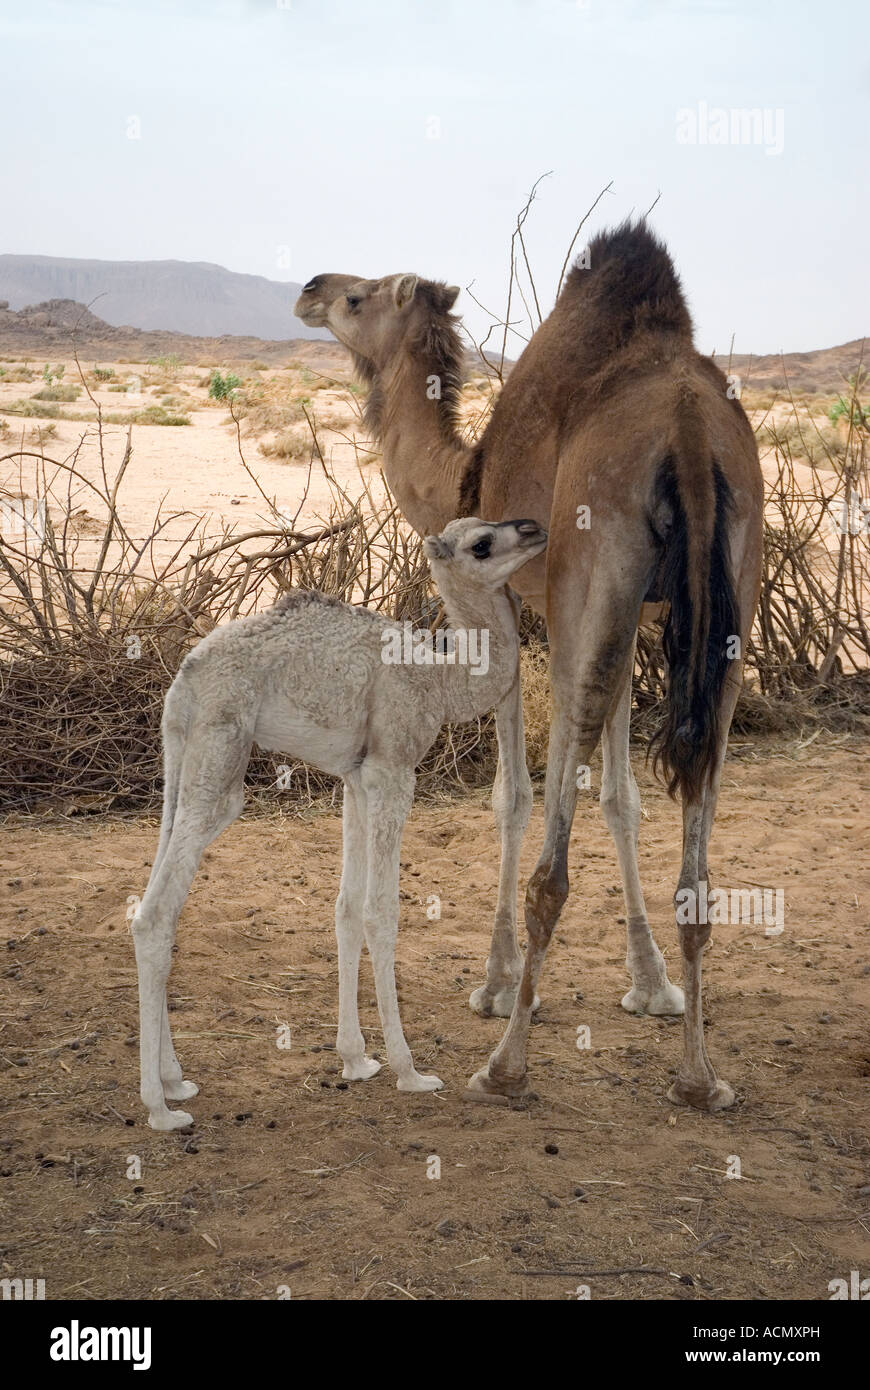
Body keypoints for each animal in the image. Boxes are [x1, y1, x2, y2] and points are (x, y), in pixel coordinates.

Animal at [132, 515, 547, 1130]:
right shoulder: (393, 770)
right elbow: (381, 912)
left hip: (180, 759)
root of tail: (182, 683)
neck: (438, 678)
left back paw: (176, 1080)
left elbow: (346, 909)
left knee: (162, 887)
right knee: (154, 913)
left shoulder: (356, 778)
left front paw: (356, 1059)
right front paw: (409, 1070)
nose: (534, 527)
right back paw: (160, 1109)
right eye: (481, 544)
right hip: (219, 754)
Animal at [294, 221, 764, 1112]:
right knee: (700, 820)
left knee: (553, 864)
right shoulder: (634, 620)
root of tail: (689, 433)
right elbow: (621, 799)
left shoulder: (517, 600)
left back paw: (505, 1063)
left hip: (595, 566)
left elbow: (513, 797)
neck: (459, 478)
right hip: (726, 604)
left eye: (357, 297)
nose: (308, 287)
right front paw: (651, 984)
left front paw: (498, 980)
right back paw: (700, 1078)